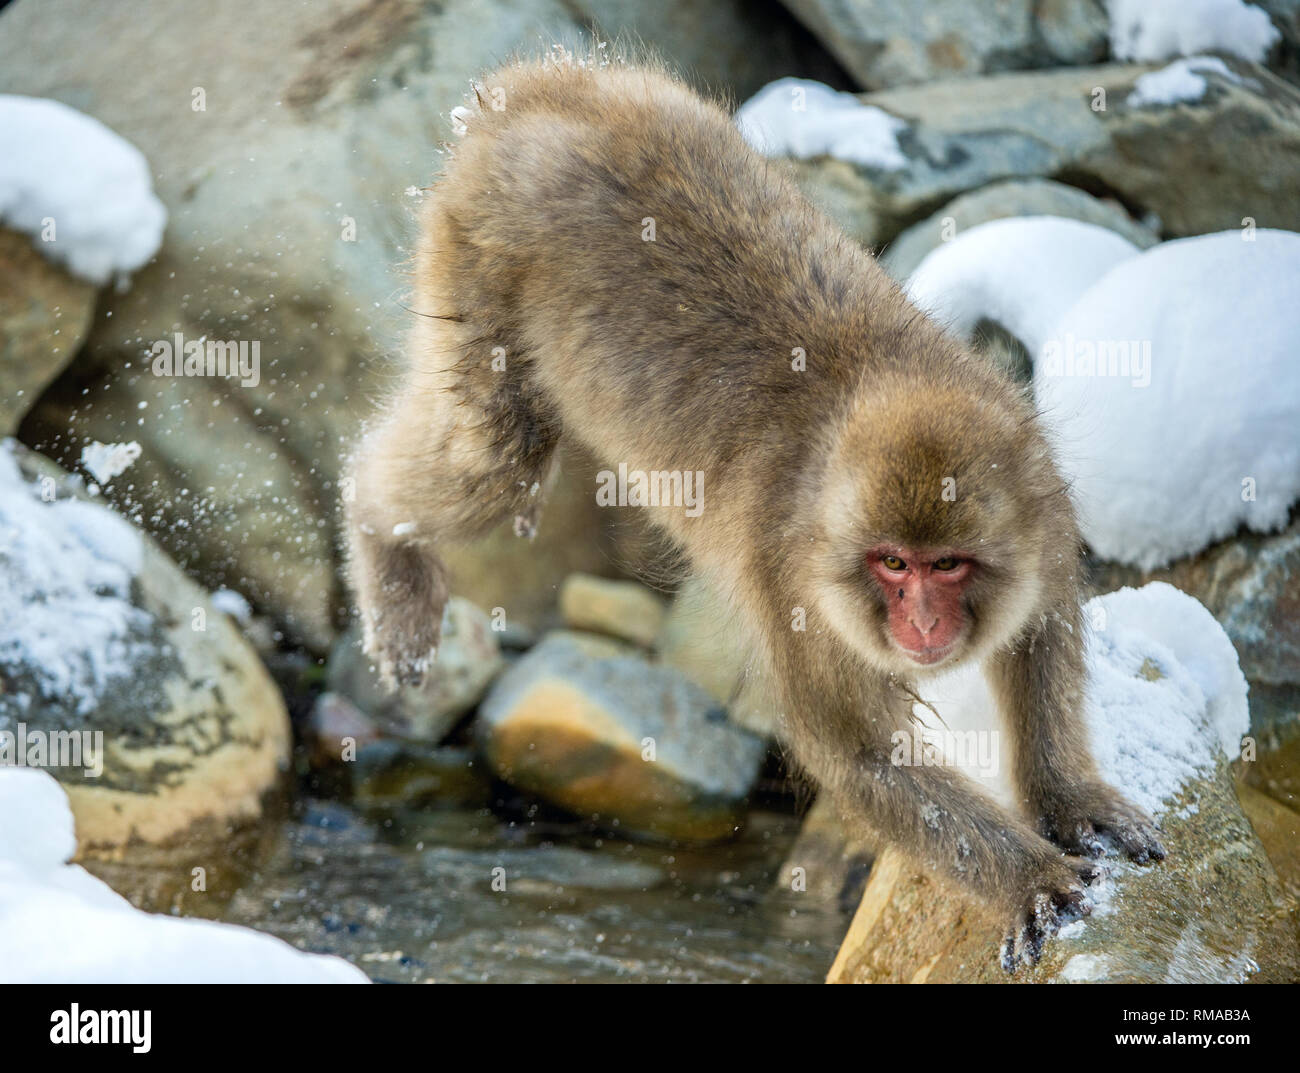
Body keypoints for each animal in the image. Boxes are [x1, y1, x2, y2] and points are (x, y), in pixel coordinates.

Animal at [344, 47, 1166, 972]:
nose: (921, 625)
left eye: (948, 564)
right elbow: (861, 756)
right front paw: (1029, 877)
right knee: (493, 463)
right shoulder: (797, 588)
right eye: (893, 562)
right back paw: (378, 540)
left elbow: (1039, 640)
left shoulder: (1047, 513)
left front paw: (1071, 798)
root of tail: (544, 90)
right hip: (476, 249)